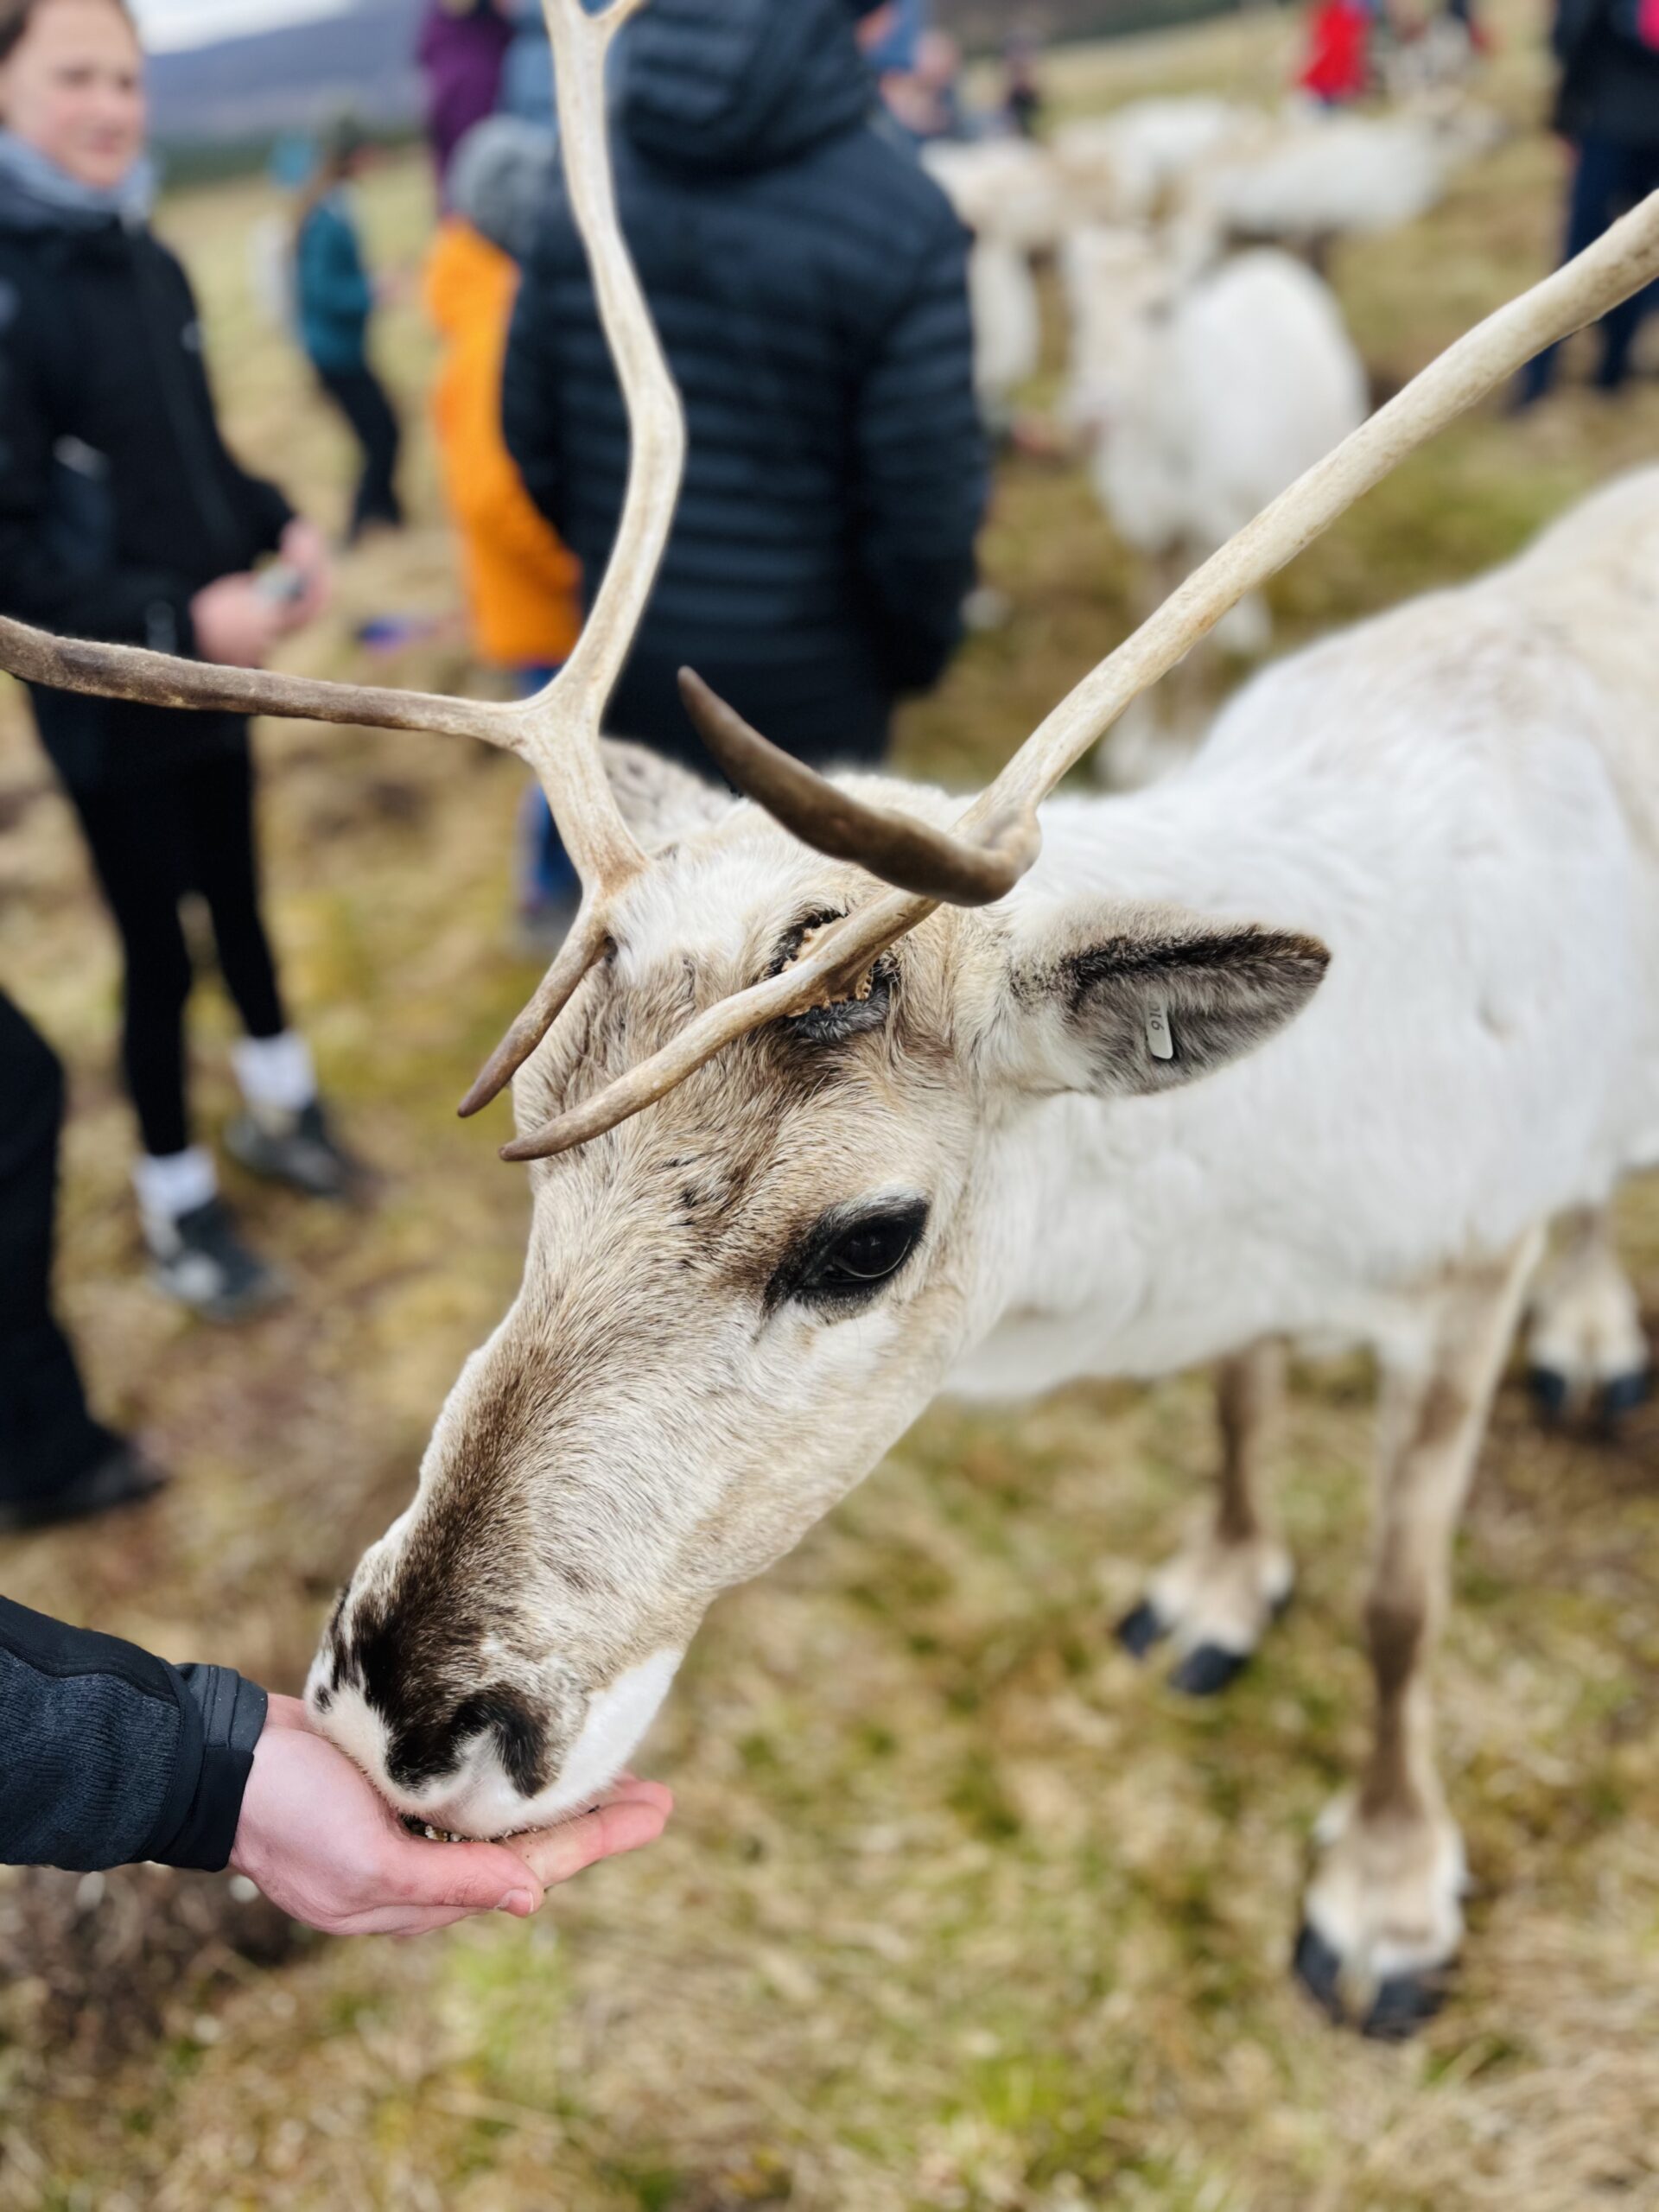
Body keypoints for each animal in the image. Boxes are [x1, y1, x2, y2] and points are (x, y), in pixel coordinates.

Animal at [3, 0, 1657, 2040]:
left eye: (867, 1239)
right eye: (536, 1146)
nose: (404, 1719)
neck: (1274, 1201)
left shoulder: (1464, 1269)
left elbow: (1398, 1604)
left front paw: (1384, 1898)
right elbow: (1237, 1410)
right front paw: (1211, 1588)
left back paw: (1598, 1338)